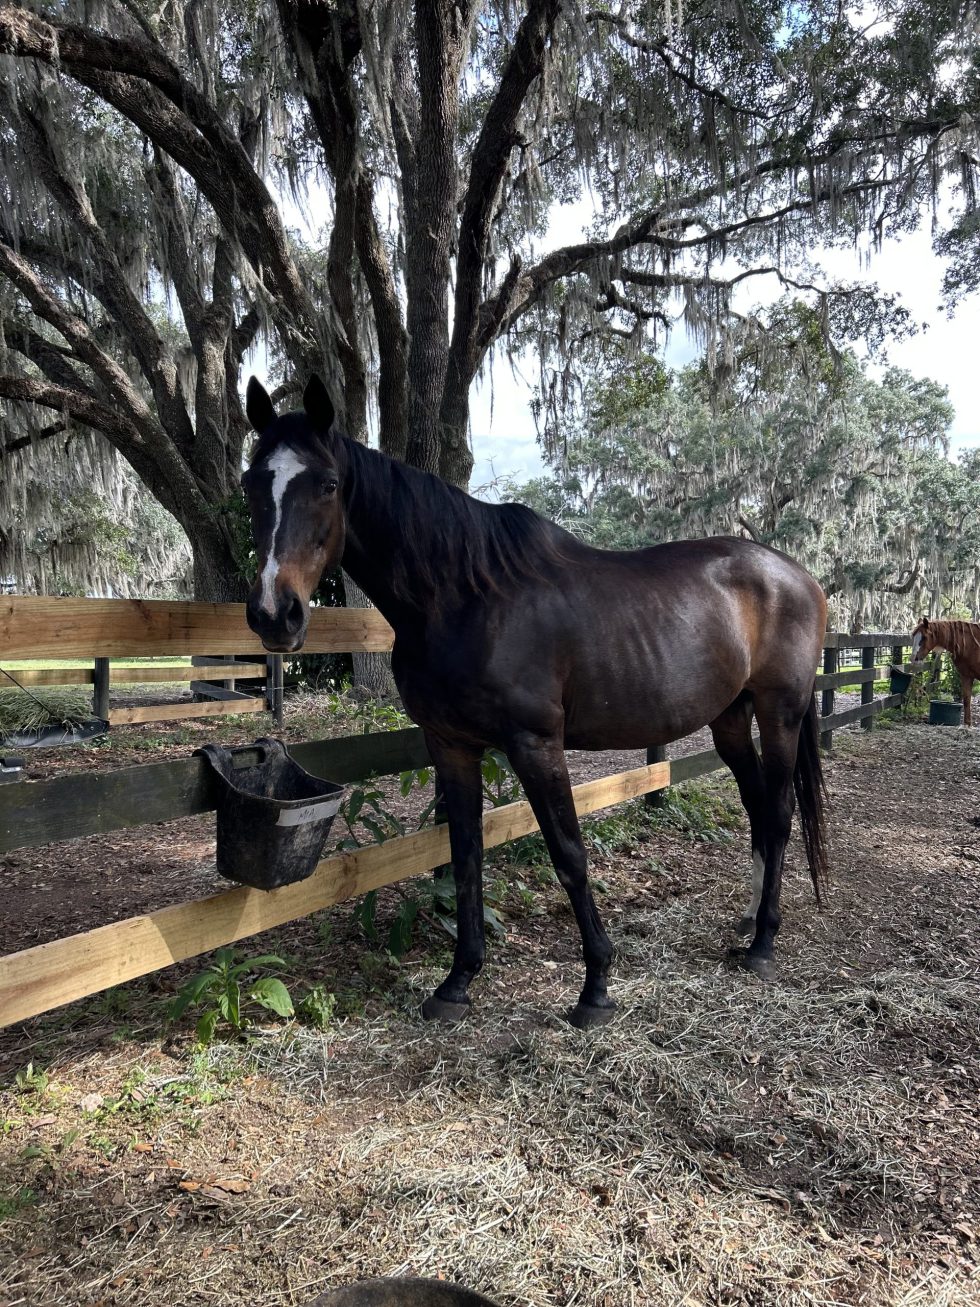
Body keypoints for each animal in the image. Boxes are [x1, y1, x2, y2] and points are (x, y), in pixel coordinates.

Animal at [241, 376, 829, 1027]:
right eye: (250, 484)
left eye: (327, 484)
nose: (274, 614)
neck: (465, 596)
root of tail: (799, 575)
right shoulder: (451, 746)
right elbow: (466, 855)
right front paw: (457, 981)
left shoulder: (536, 744)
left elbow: (568, 854)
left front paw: (595, 987)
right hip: (729, 719)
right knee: (758, 810)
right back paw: (748, 924)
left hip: (780, 715)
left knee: (780, 814)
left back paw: (764, 943)